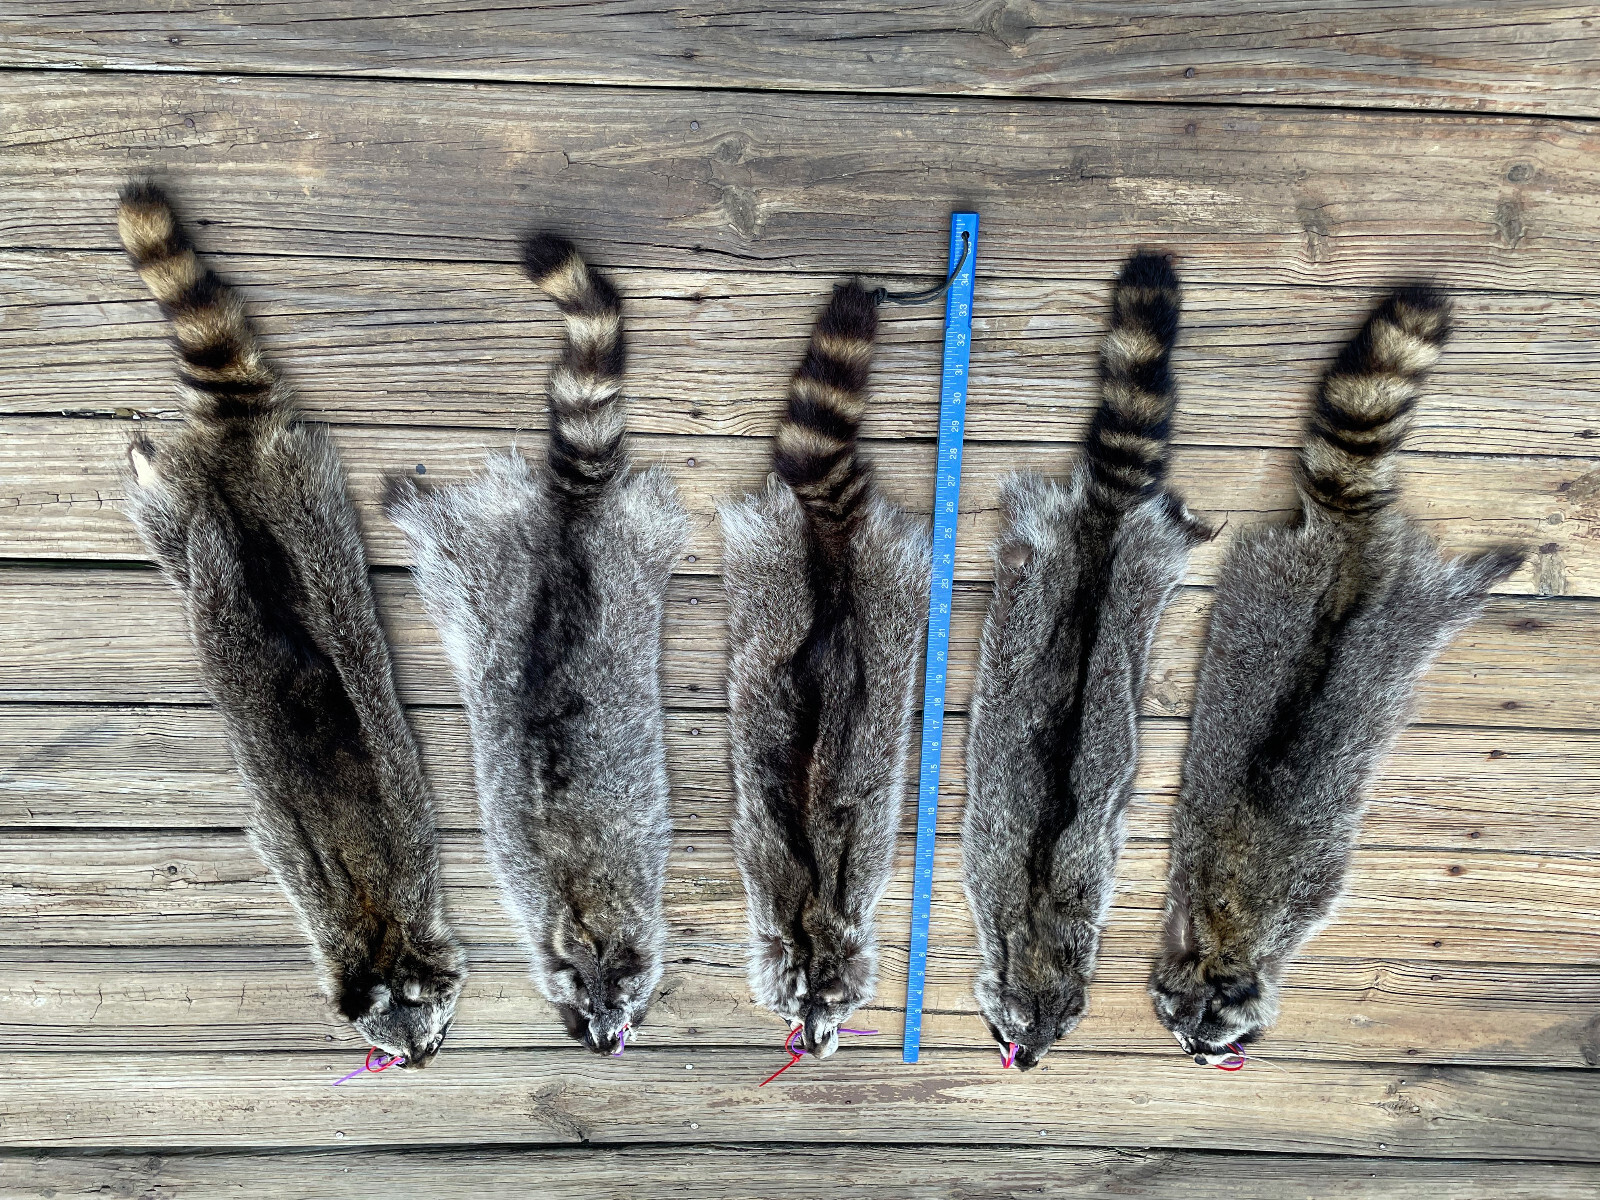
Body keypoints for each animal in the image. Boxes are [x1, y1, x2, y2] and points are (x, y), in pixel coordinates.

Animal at [115, 183, 465, 1065]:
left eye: (429, 1038)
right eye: (403, 1046)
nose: (421, 1065)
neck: (379, 924)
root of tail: (237, 449)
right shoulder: (317, 876)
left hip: (299, 493)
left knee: (190, 535)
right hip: (277, 491)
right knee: (187, 536)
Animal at [386, 235, 687, 1055]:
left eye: (622, 1000)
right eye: (584, 1001)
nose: (605, 1045)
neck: (590, 906)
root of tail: (568, 531)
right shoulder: (534, 895)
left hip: (607, 553)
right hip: (500, 565)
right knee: (449, 540)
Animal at [721, 282, 929, 1058]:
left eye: (832, 1004)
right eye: (794, 1006)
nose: (814, 1044)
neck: (811, 923)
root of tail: (834, 559)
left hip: (867, 570)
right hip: (783, 560)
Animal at [962, 253, 1209, 1071]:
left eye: (1056, 1033)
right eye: (1009, 1031)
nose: (1027, 1064)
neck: (1039, 932)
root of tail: (1100, 528)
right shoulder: (993, 866)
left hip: (1130, 568)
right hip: (1058, 554)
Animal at [1149, 286, 1525, 1062]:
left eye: (1211, 1038)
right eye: (1181, 1027)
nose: (1194, 1056)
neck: (1228, 933)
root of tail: (1344, 554)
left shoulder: (1307, 893)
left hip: (1359, 597)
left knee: (1442, 594)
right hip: (1299, 585)